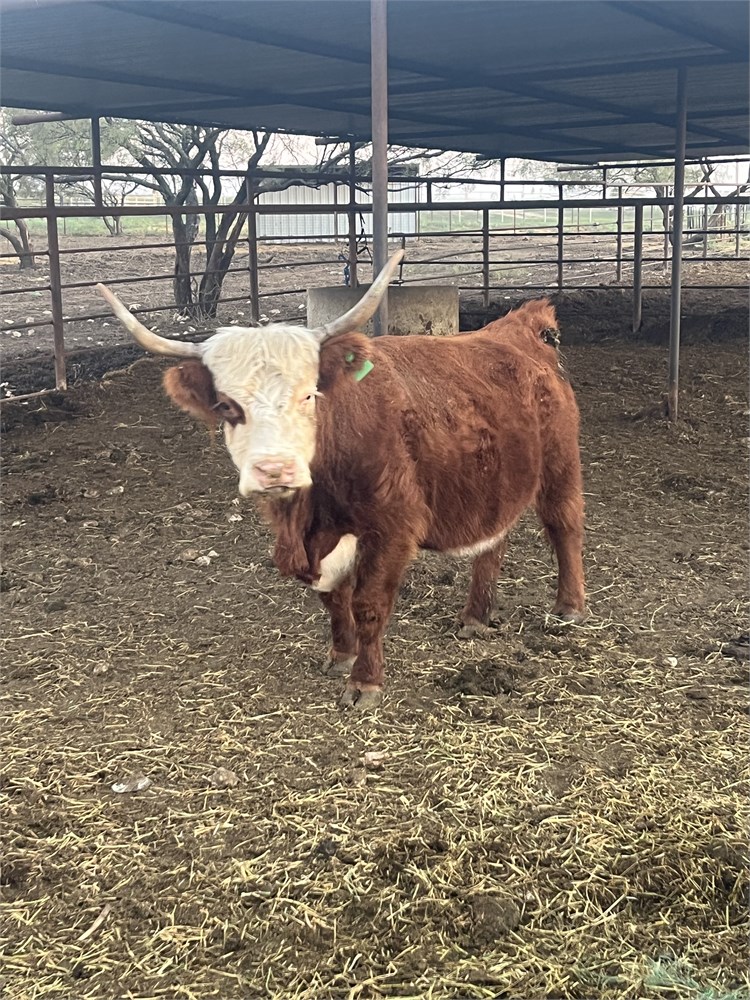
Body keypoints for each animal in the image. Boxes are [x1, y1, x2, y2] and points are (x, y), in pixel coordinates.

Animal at [96, 250, 585, 709]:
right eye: (227, 407)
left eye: (309, 394)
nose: (275, 470)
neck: (312, 512)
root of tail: (515, 329)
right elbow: (334, 598)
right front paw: (341, 655)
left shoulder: (392, 528)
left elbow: (368, 603)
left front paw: (365, 681)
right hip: (492, 481)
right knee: (492, 542)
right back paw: (476, 616)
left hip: (560, 463)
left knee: (564, 525)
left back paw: (568, 607)